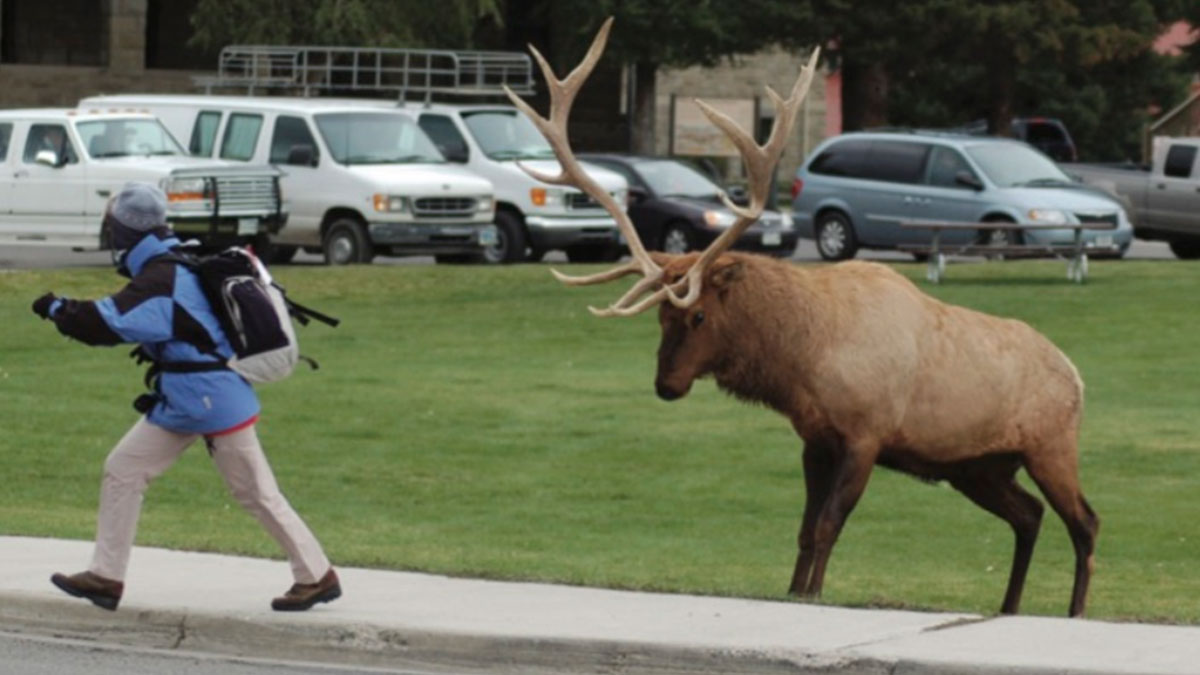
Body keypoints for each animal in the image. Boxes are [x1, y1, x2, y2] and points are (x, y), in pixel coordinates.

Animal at [506, 18, 1099, 617]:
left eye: (698, 316)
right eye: (662, 318)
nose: (665, 385)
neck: (806, 361)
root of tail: (1076, 375)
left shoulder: (867, 434)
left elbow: (829, 525)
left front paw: (813, 595)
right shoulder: (815, 439)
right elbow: (805, 529)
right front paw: (795, 592)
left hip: (1050, 445)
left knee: (1085, 521)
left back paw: (1074, 611)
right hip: (978, 466)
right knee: (1030, 516)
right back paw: (1009, 606)